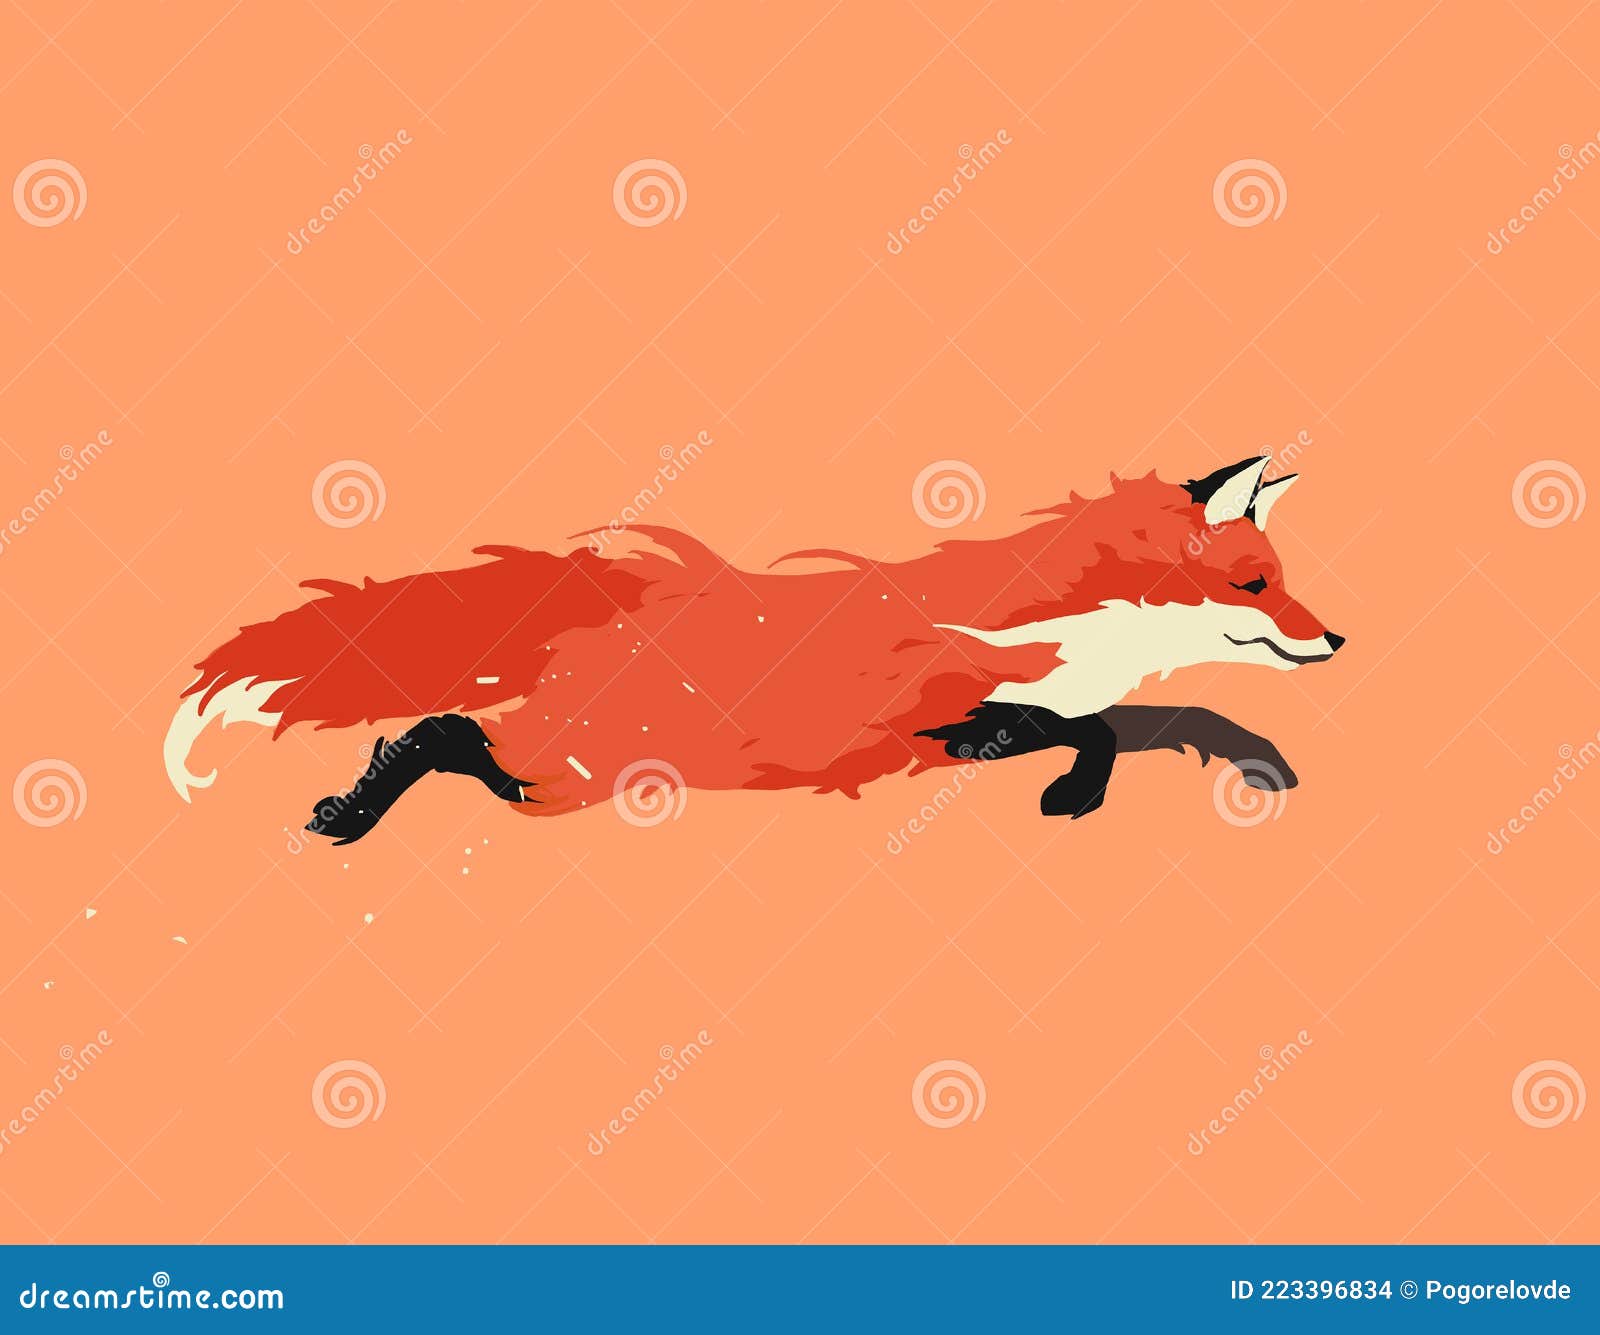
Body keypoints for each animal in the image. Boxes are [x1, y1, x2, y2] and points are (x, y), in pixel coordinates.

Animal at [164, 455, 1344, 844]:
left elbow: (1129, 720)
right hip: (588, 761)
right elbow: (1089, 727)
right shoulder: (933, 706)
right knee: (443, 733)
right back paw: (350, 812)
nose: (1335, 635)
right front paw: (1073, 793)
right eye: (1257, 585)